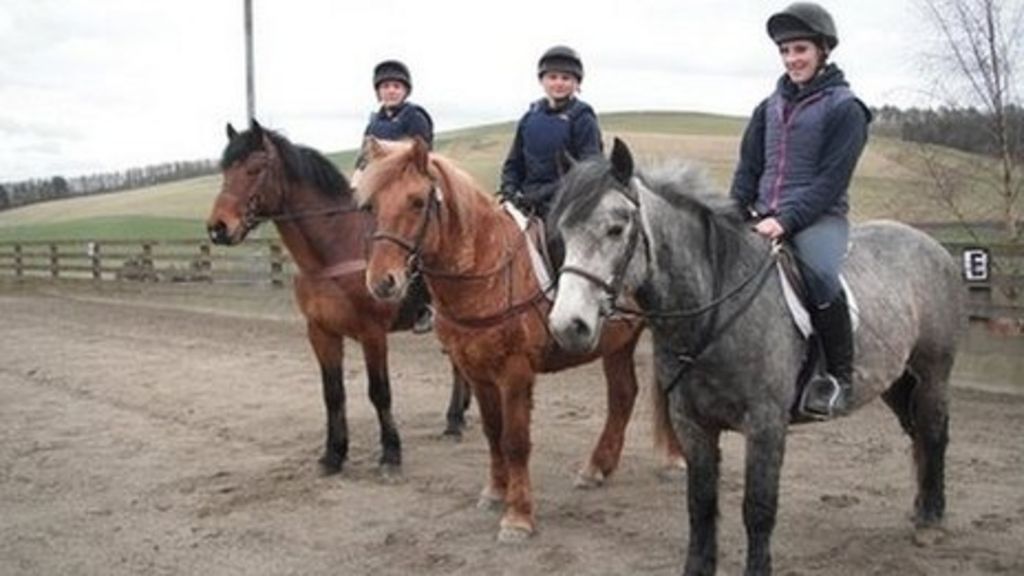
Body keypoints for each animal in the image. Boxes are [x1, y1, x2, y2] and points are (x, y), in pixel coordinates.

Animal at [205, 120, 471, 477]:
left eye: (255, 168)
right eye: (225, 169)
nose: (218, 227)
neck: (335, 250)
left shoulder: (372, 334)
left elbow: (379, 393)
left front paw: (390, 453)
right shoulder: (321, 333)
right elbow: (332, 393)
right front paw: (334, 454)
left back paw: (455, 421)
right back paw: (457, 416)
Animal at [354, 137, 683, 542]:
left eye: (417, 201)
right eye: (371, 205)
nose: (382, 282)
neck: (486, 272)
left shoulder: (515, 372)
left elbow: (515, 440)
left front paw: (518, 516)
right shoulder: (476, 371)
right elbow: (493, 432)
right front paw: (495, 491)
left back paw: (673, 459)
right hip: (616, 343)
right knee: (623, 395)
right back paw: (597, 467)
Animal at [548, 138, 963, 575]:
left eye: (615, 228)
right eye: (562, 232)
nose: (567, 325)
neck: (713, 308)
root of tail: (931, 245)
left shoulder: (765, 424)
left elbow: (759, 509)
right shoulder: (692, 423)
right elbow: (701, 504)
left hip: (932, 374)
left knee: (934, 433)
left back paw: (931, 521)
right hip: (896, 380)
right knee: (917, 432)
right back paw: (920, 508)